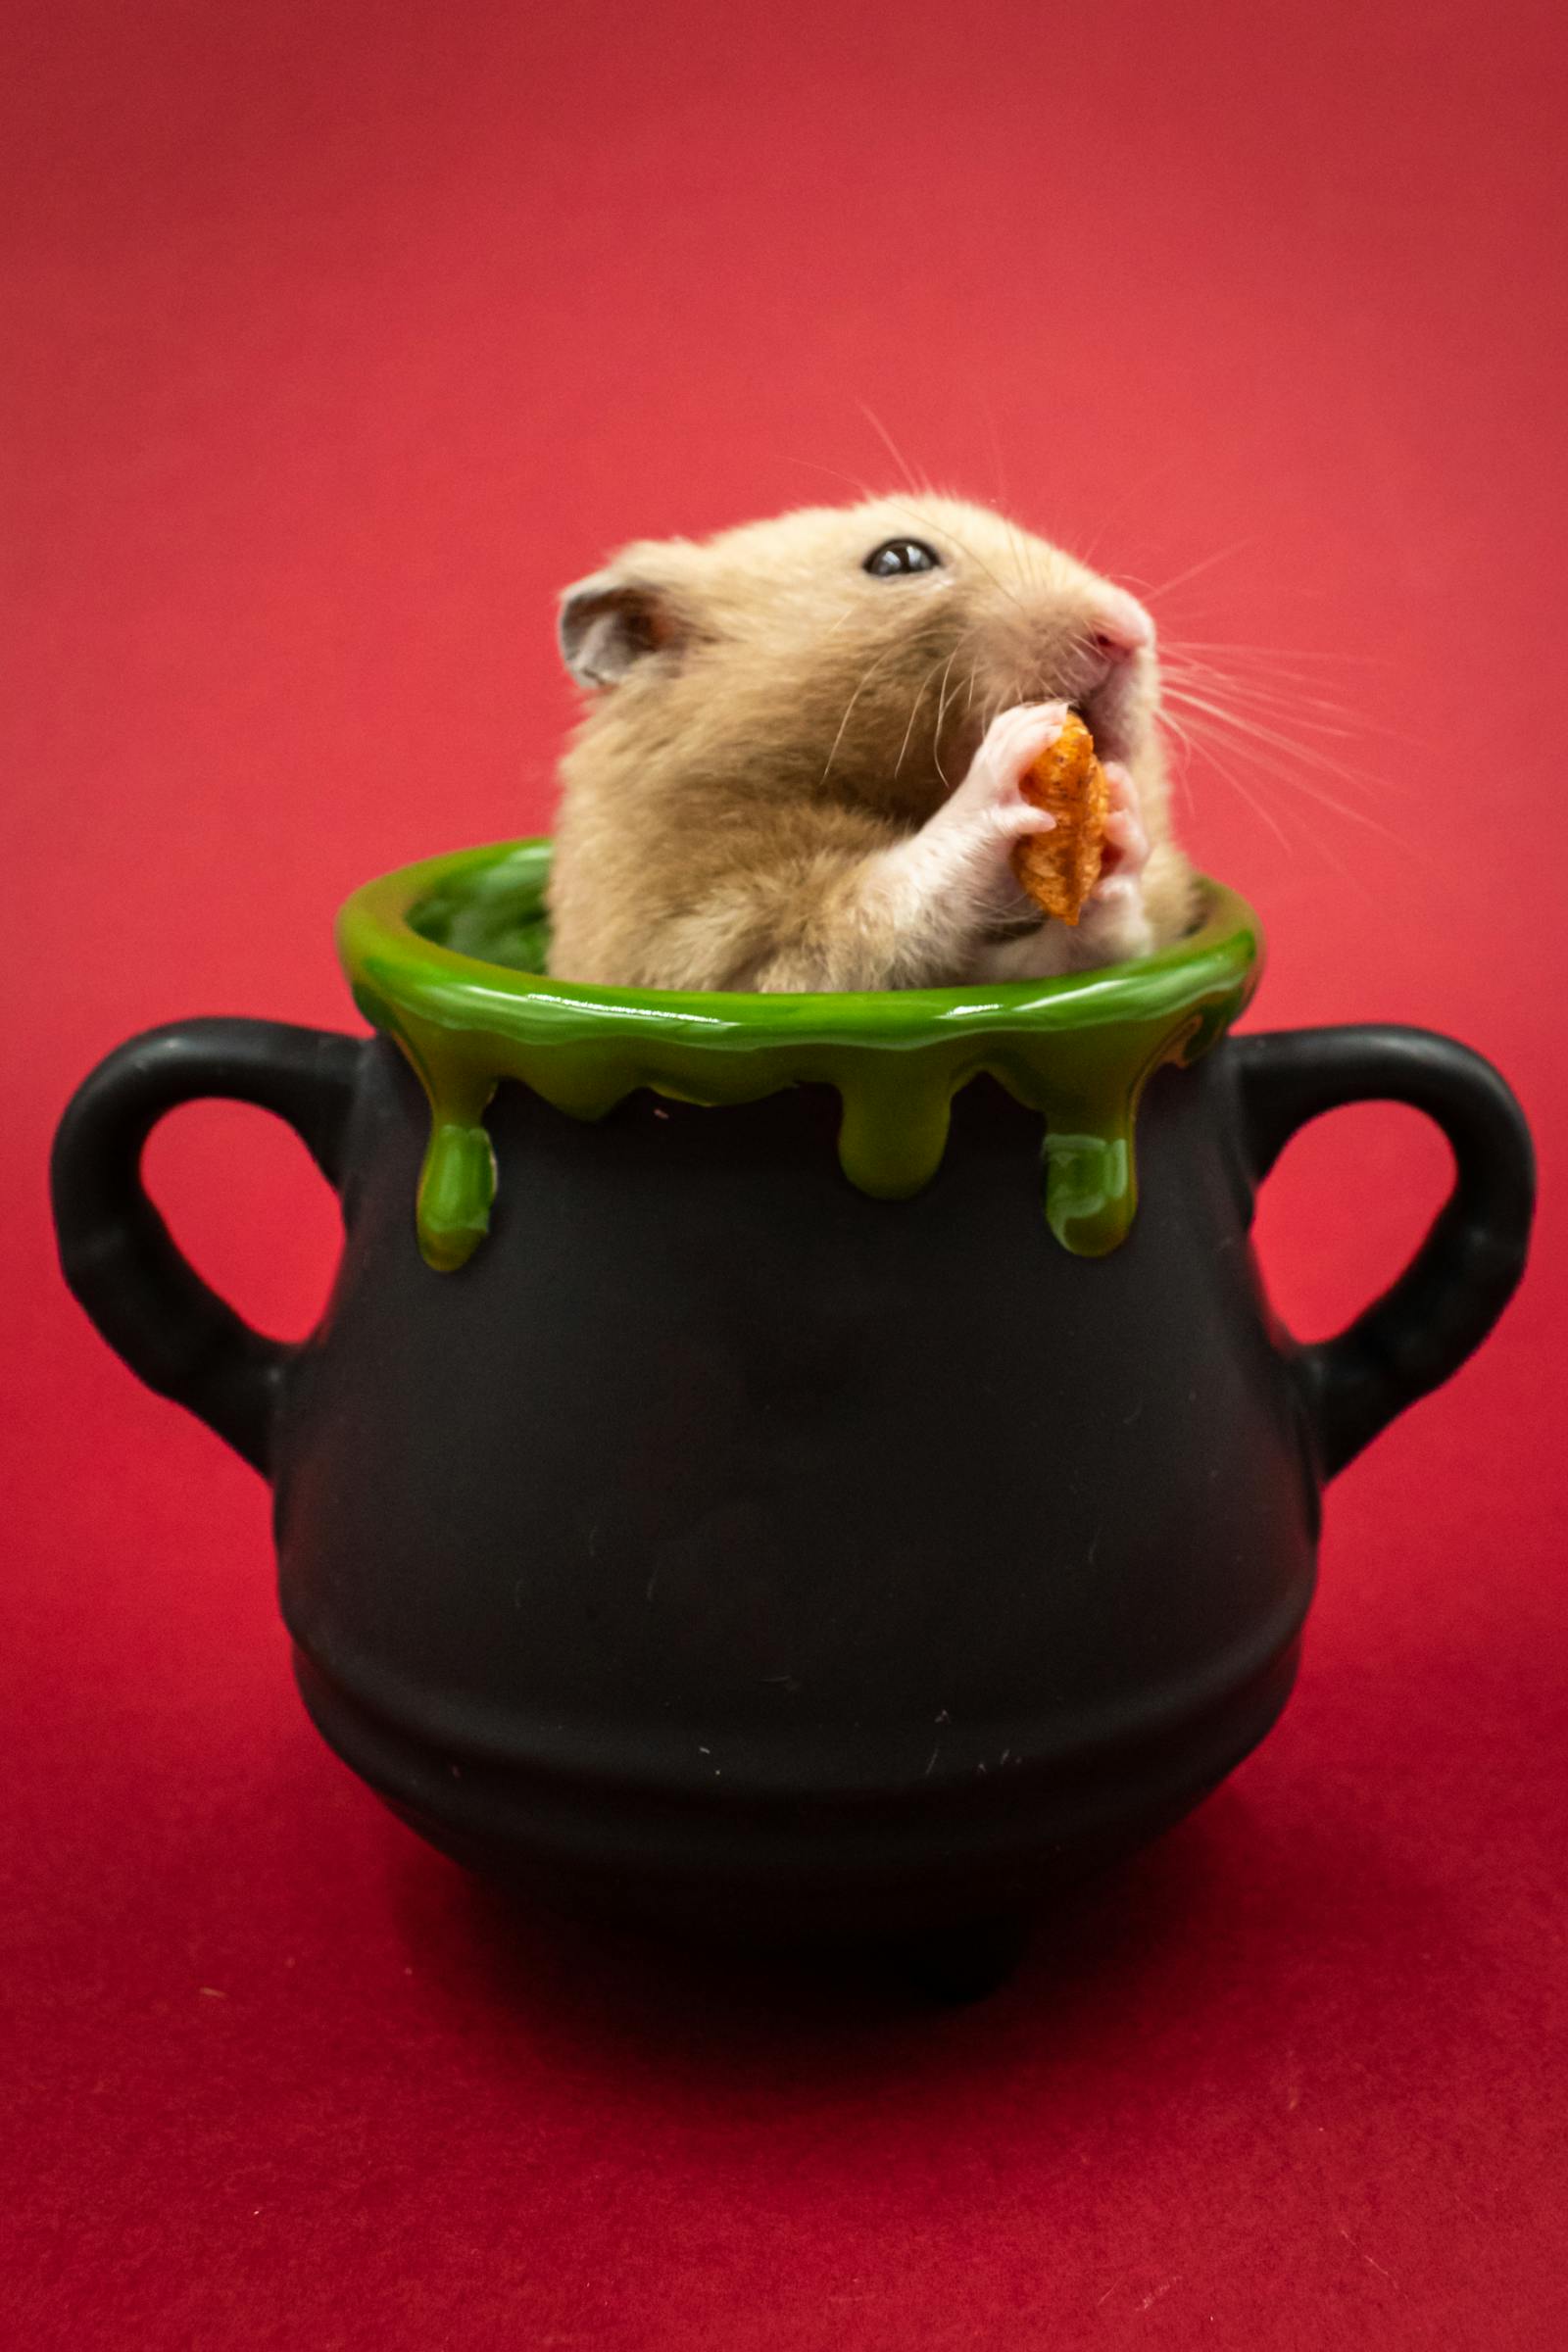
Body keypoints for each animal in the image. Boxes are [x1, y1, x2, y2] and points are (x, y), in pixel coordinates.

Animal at [545, 496, 1197, 993]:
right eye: (899, 558)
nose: (1130, 629)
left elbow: (1072, 949)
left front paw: (1122, 818)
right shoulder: (711, 948)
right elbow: (880, 905)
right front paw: (1012, 754)